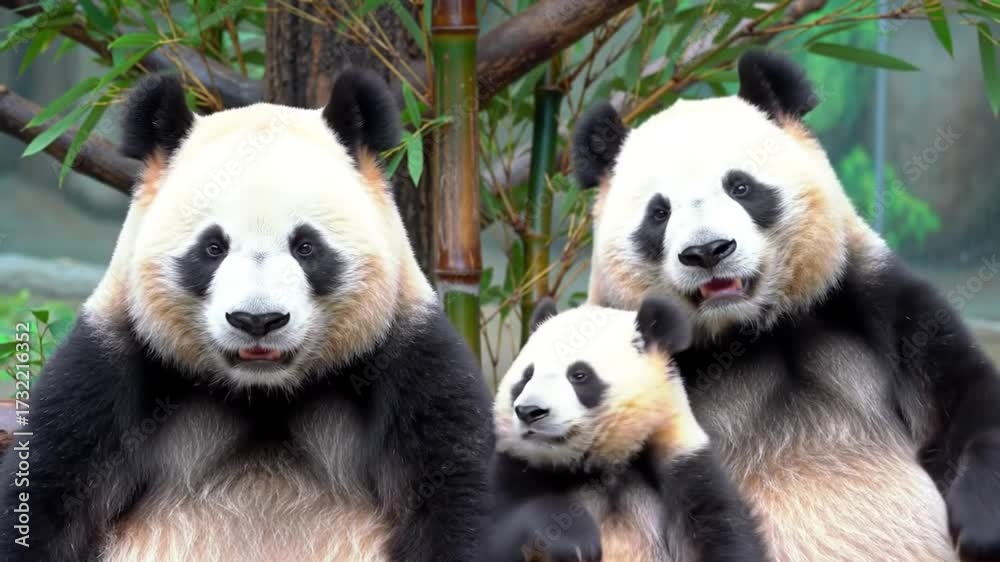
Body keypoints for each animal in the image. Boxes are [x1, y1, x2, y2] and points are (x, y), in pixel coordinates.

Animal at [0, 69, 492, 562]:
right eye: (213, 248)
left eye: (306, 247)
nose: (258, 321)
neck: (263, 395)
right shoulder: (109, 373)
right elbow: (46, 500)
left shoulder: (411, 364)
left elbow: (456, 501)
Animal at [487, 296, 768, 562]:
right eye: (526, 377)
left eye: (579, 375)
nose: (529, 411)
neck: (604, 464)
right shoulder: (514, 471)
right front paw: (572, 537)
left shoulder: (685, 467)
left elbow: (720, 534)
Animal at [571, 49, 1000, 562]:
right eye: (659, 213)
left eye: (740, 187)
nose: (708, 251)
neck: (750, 331)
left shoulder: (875, 301)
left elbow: (964, 403)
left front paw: (982, 525)